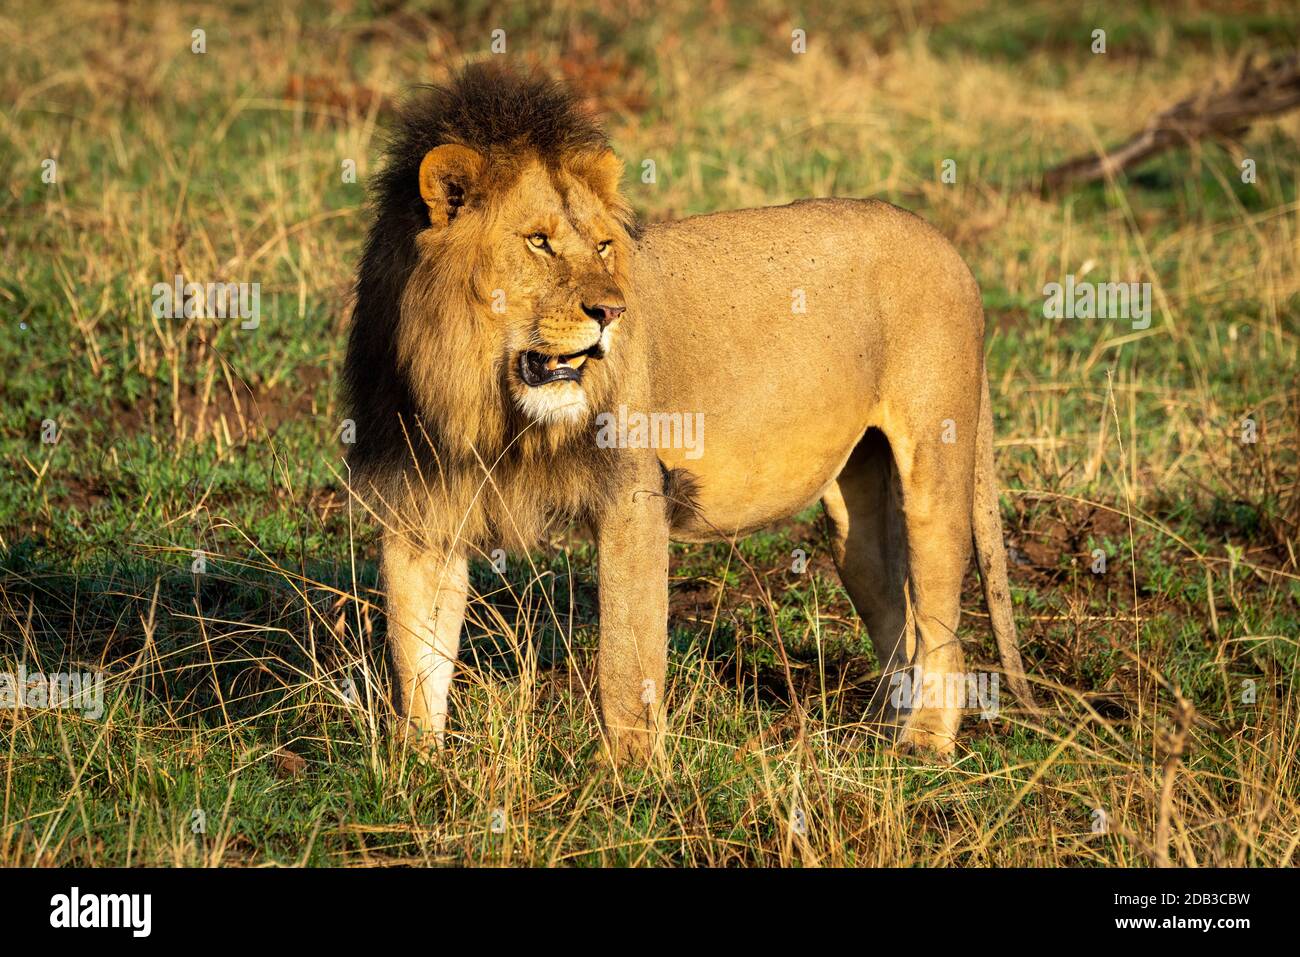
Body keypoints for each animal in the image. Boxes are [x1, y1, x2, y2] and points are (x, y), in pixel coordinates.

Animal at [343, 63, 1037, 763]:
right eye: (538, 242)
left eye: (602, 247)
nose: (612, 313)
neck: (482, 405)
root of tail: (946, 244)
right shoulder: (418, 509)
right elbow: (415, 659)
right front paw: (417, 766)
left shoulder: (632, 491)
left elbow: (626, 655)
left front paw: (629, 772)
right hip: (856, 514)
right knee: (897, 610)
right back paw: (878, 737)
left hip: (935, 468)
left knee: (943, 624)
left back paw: (922, 747)